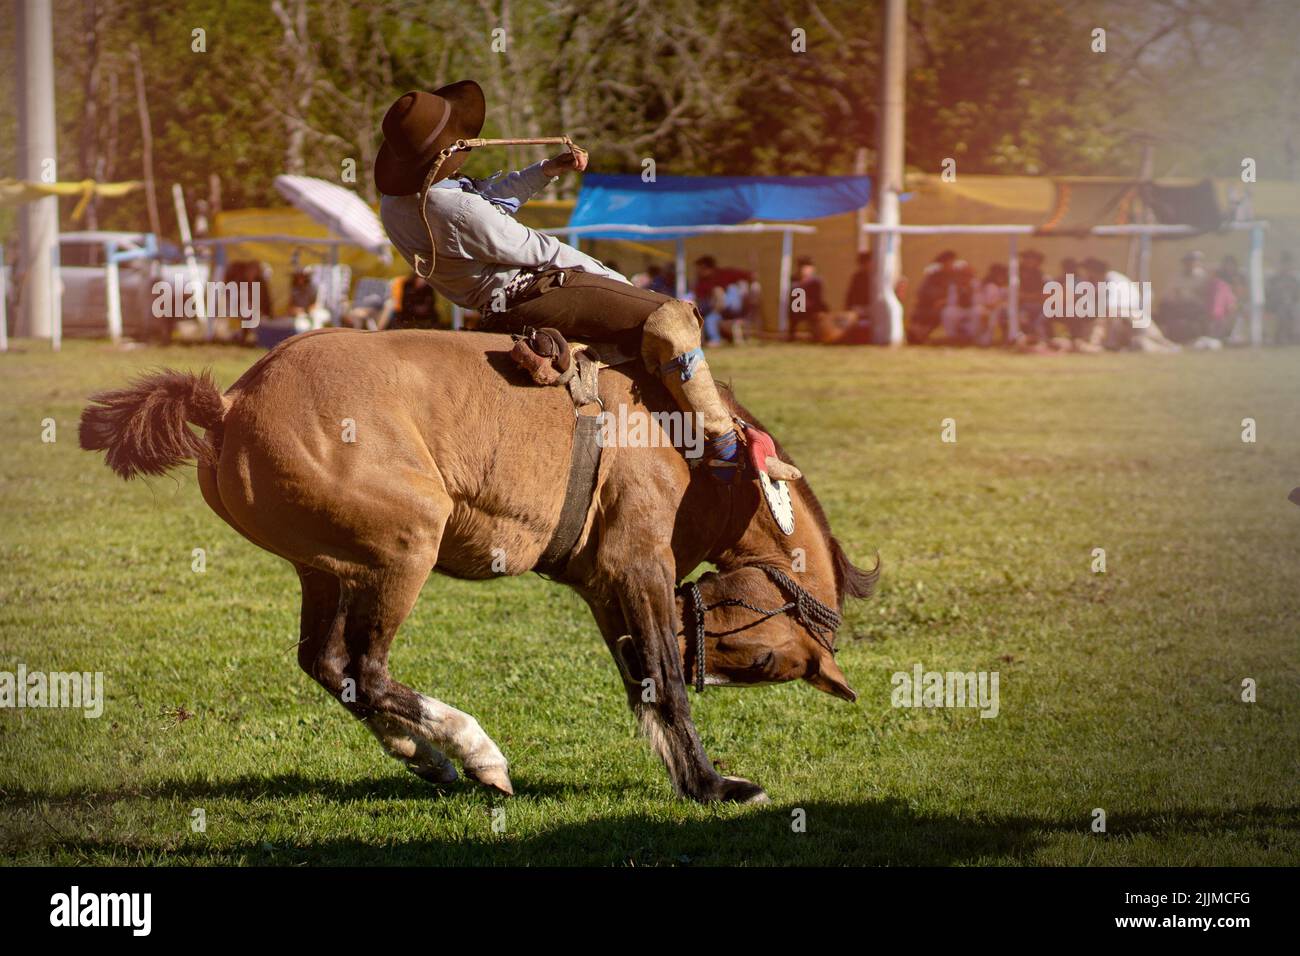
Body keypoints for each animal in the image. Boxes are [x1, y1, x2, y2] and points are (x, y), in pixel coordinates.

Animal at [78, 325, 877, 803]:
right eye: (768, 660)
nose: (694, 643)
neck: (696, 451)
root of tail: (230, 401)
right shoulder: (640, 567)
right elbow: (666, 683)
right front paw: (713, 785)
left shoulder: (606, 585)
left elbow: (644, 681)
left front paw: (686, 774)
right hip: (403, 549)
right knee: (365, 669)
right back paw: (473, 749)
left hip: (329, 569)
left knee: (330, 666)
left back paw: (425, 755)